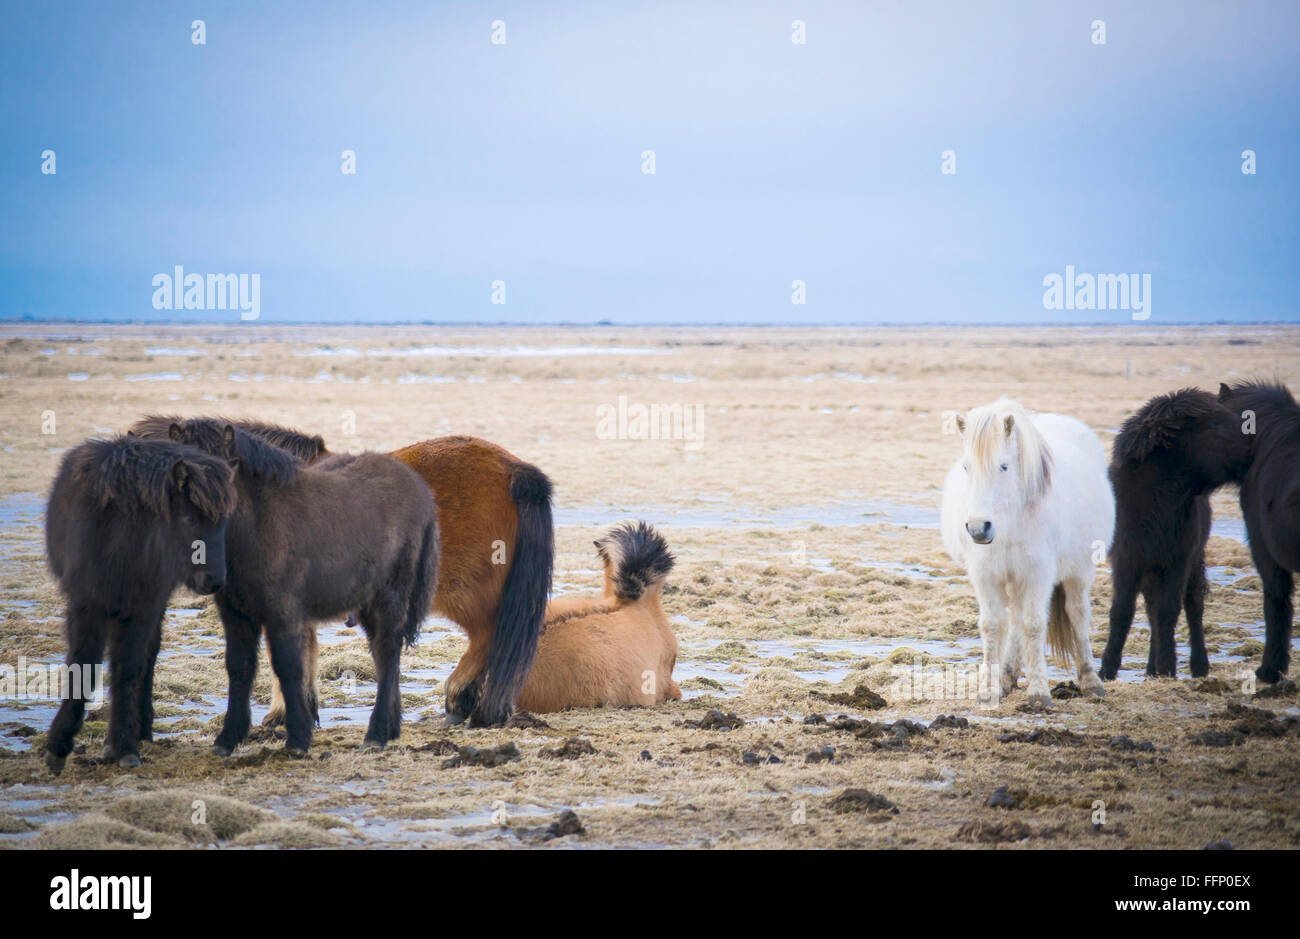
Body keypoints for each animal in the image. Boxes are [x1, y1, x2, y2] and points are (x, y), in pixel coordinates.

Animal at [43, 435, 236, 773]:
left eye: (222, 522)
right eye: (189, 518)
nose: (214, 580)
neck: (121, 540)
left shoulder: (143, 607)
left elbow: (128, 669)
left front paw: (122, 746)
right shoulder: (86, 605)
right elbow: (83, 665)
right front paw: (58, 746)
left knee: (147, 658)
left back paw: (141, 730)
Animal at [129, 418, 439, 755]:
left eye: (227, 471)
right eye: (181, 476)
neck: (256, 526)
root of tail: (420, 491)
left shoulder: (284, 612)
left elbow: (289, 667)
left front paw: (298, 738)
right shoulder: (236, 614)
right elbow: (239, 667)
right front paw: (228, 738)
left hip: (389, 597)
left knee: (388, 652)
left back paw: (377, 733)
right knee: (383, 658)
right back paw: (390, 729)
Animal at [941, 398, 1113, 706]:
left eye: (1004, 466)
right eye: (966, 467)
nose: (978, 528)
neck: (1011, 520)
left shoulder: (1038, 574)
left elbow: (1033, 625)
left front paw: (1038, 693)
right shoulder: (986, 575)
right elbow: (993, 625)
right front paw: (989, 689)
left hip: (1079, 571)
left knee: (1078, 614)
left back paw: (1091, 680)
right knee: (1014, 621)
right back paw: (1007, 676)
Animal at [1100, 389, 1251, 680]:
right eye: (1214, 426)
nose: (1253, 450)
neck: (1156, 502)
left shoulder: (1178, 561)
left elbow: (1169, 610)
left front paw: (1168, 667)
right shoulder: (1126, 560)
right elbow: (1122, 611)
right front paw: (1106, 670)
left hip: (1192, 563)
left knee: (1193, 607)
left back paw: (1197, 666)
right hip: (1151, 571)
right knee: (1151, 610)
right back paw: (1151, 669)